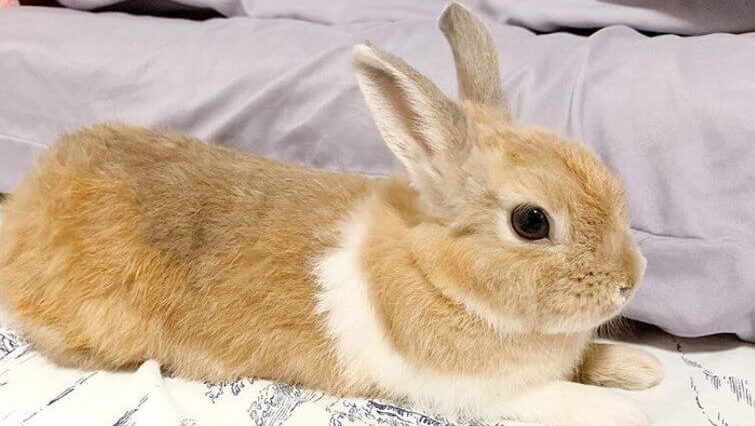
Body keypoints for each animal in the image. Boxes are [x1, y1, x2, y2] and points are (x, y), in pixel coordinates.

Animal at [0, 2, 662, 425]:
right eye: (531, 222)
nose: (630, 282)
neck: (440, 276)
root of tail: (26, 211)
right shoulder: (476, 393)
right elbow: (559, 399)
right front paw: (631, 408)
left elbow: (590, 358)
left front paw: (644, 367)